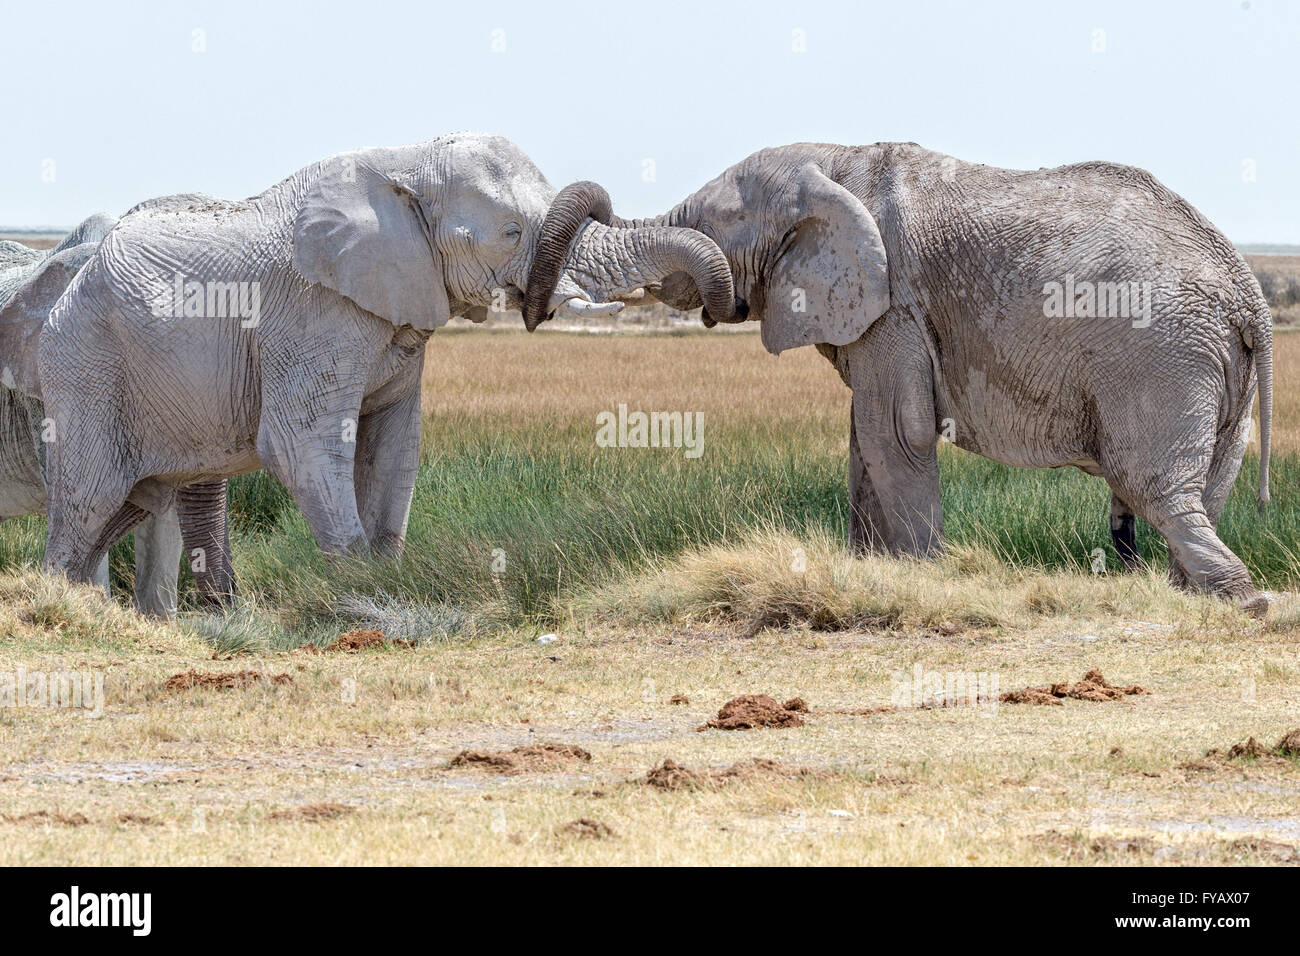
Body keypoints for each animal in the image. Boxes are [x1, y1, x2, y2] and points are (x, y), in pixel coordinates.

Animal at [32, 134, 733, 586]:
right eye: (510, 232)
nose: (709, 310)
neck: (407, 164)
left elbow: (396, 440)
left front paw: (387, 578)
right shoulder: (312, 313)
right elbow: (301, 443)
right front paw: (359, 598)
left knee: (126, 504)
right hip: (88, 368)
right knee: (90, 498)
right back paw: (59, 606)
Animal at [524, 143, 1275, 615]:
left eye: (716, 223)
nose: (532, 313)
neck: (835, 163)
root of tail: (1249, 295)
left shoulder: (896, 306)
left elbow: (895, 433)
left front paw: (925, 580)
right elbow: (864, 439)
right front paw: (869, 575)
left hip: (1161, 353)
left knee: (1152, 484)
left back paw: (1246, 600)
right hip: (1211, 363)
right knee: (1209, 480)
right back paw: (1192, 596)